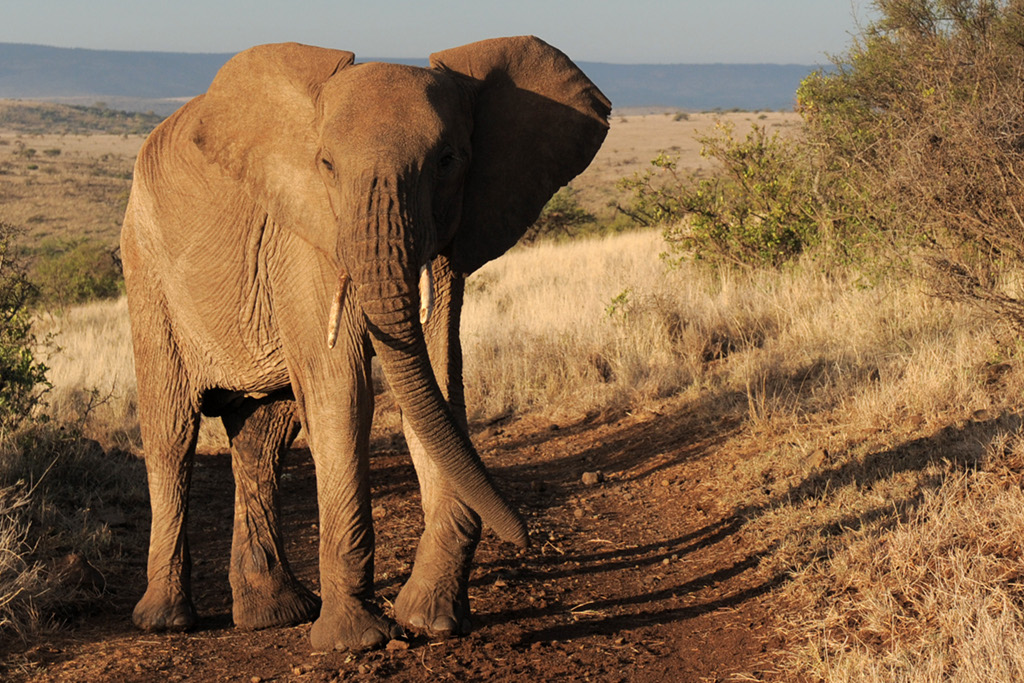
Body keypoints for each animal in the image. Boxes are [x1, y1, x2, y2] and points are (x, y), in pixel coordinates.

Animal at [120, 35, 609, 651]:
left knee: (263, 439)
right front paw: (355, 642)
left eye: (449, 161)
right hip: (146, 268)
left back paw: (275, 614)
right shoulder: (303, 236)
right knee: (171, 432)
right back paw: (167, 622)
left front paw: (430, 621)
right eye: (326, 165)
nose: (522, 536)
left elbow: (434, 388)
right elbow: (343, 393)